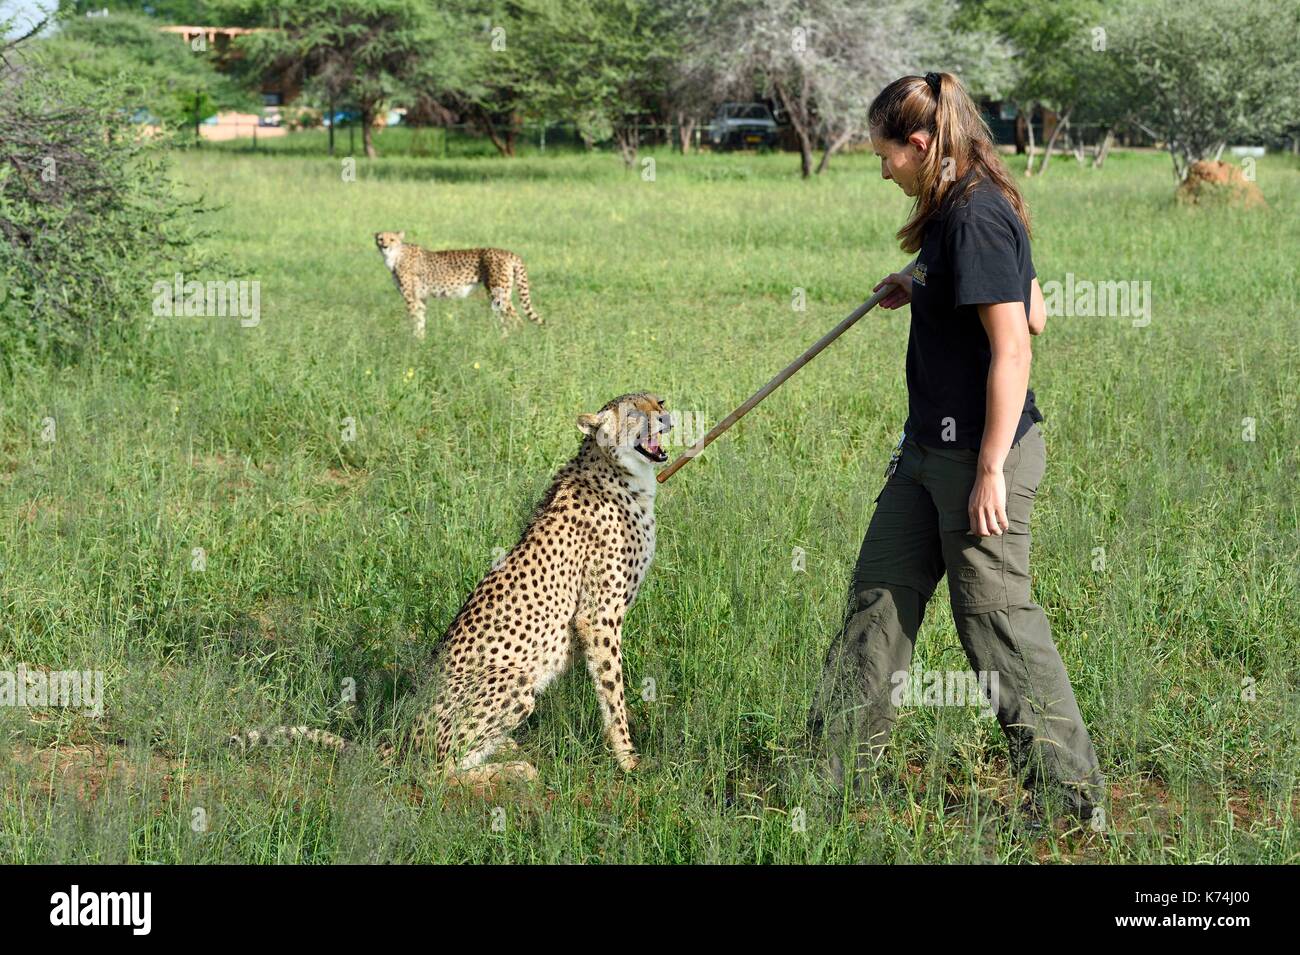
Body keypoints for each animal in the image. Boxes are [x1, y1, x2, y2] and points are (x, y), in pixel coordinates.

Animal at [232, 392, 673, 794]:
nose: (667, 416)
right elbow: (613, 694)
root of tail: (400, 740)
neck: (619, 474)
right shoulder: (598, 617)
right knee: (431, 774)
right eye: (635, 412)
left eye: (659, 401)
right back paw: (511, 771)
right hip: (513, 682)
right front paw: (629, 760)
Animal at [374, 231, 542, 339]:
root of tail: (507, 252)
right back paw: (503, 340)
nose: (384, 246)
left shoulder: (411, 298)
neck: (395, 255)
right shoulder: (420, 299)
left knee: (517, 320)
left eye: (392, 239)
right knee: (506, 319)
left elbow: (414, 320)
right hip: (498, 297)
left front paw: (413, 344)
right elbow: (420, 321)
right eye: (380, 239)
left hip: (499, 293)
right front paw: (421, 342)